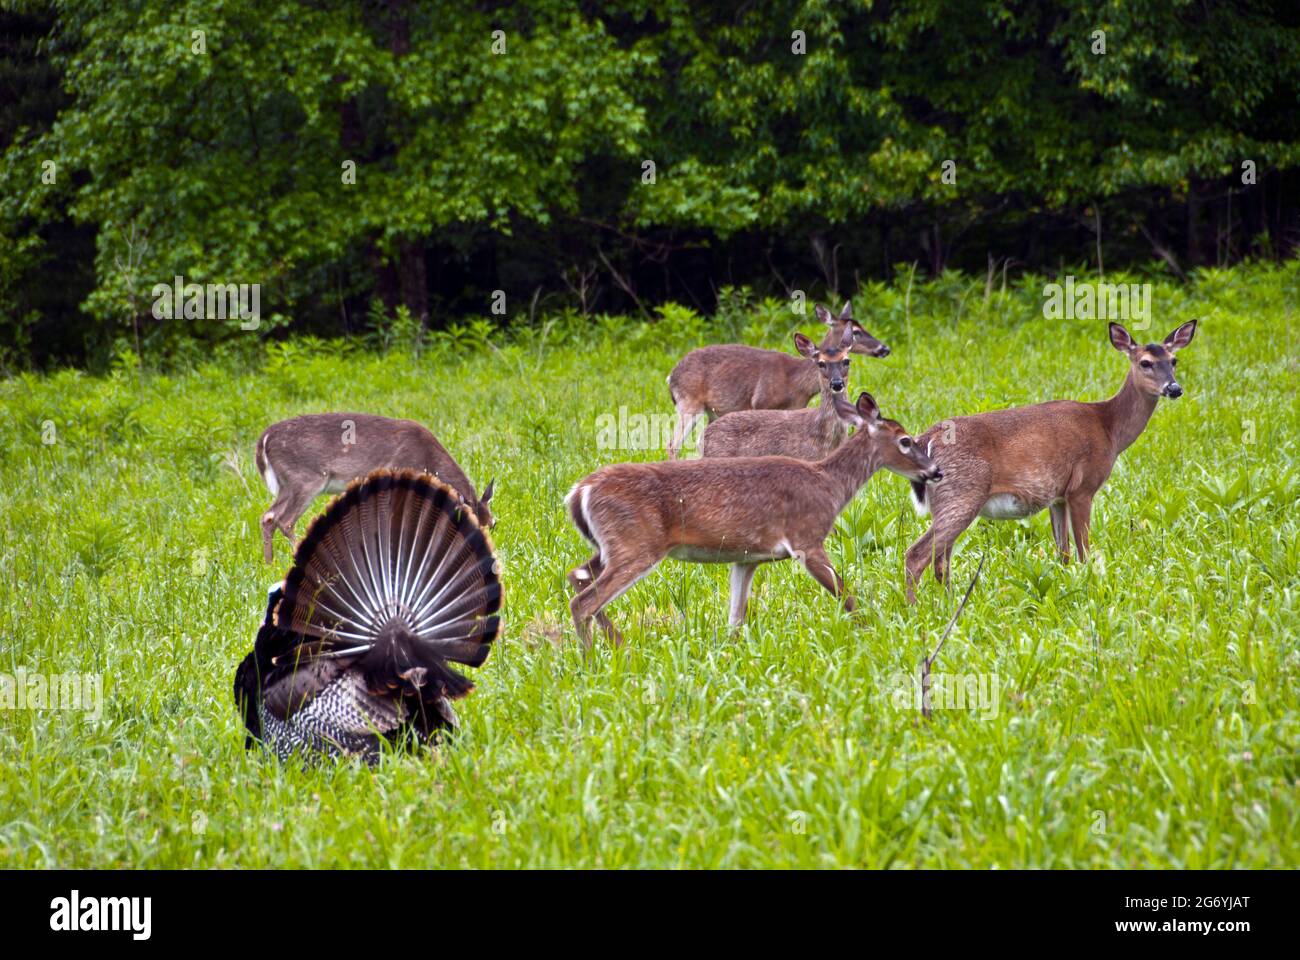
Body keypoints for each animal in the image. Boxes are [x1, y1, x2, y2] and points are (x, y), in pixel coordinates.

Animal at [255, 413, 494, 563]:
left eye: (493, 524)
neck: (427, 459)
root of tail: (263, 440)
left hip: (287, 484)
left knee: (268, 516)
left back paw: (270, 563)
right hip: (305, 479)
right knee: (284, 520)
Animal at [564, 391, 942, 647]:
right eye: (905, 440)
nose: (935, 471)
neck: (830, 486)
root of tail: (579, 491)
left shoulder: (747, 557)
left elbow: (736, 617)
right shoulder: (806, 539)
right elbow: (845, 593)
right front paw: (872, 629)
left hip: (610, 546)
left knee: (576, 576)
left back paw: (617, 644)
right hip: (637, 544)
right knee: (583, 601)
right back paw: (593, 659)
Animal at [903, 319, 1197, 602]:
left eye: (1174, 360)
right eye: (1145, 362)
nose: (1174, 388)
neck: (1109, 428)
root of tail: (926, 438)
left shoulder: (1058, 496)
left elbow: (1063, 553)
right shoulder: (1082, 487)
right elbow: (1083, 552)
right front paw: (1089, 587)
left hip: (949, 499)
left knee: (940, 561)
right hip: (963, 493)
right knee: (916, 555)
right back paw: (916, 608)